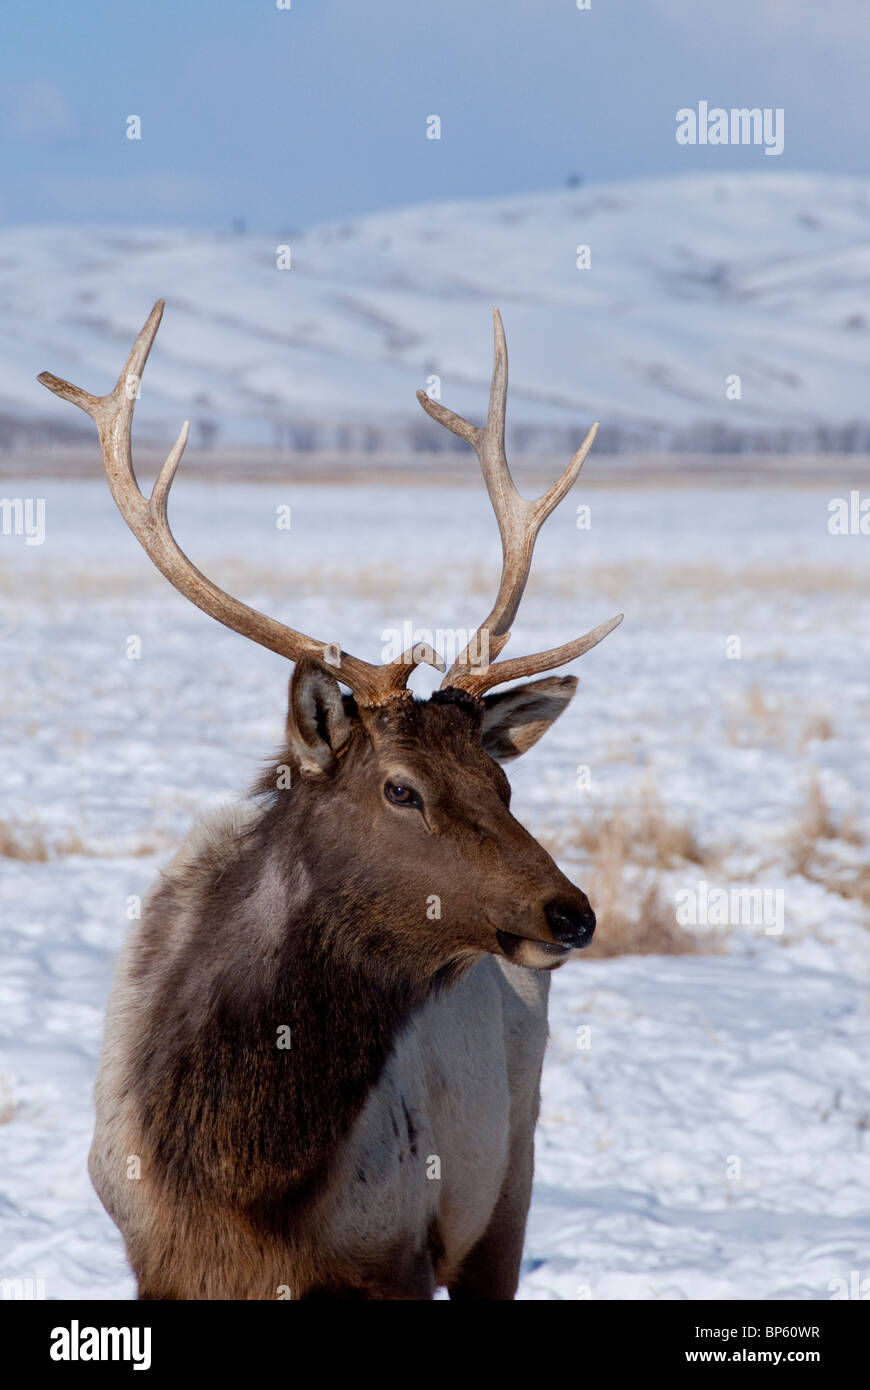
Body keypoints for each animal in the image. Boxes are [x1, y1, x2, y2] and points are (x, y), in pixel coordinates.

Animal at [38, 303, 622, 1301]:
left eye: (502, 782)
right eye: (401, 789)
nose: (571, 912)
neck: (241, 1179)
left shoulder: (395, 1249)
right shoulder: (156, 1259)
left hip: (508, 1179)